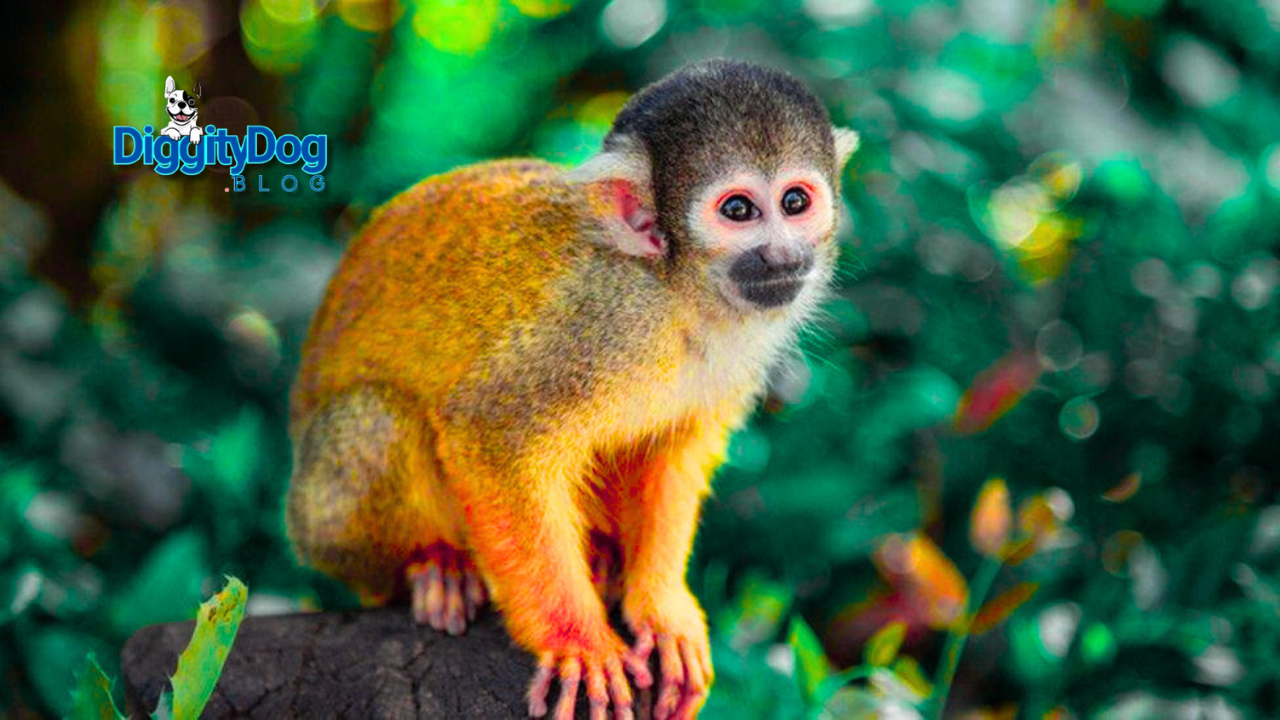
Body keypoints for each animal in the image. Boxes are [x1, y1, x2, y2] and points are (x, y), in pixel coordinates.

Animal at [285, 59, 859, 720]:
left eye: (795, 202)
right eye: (738, 210)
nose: (784, 255)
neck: (677, 292)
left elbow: (671, 457)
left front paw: (660, 605)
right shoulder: (598, 323)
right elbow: (493, 436)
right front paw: (577, 640)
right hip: (324, 527)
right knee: (375, 417)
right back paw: (434, 565)